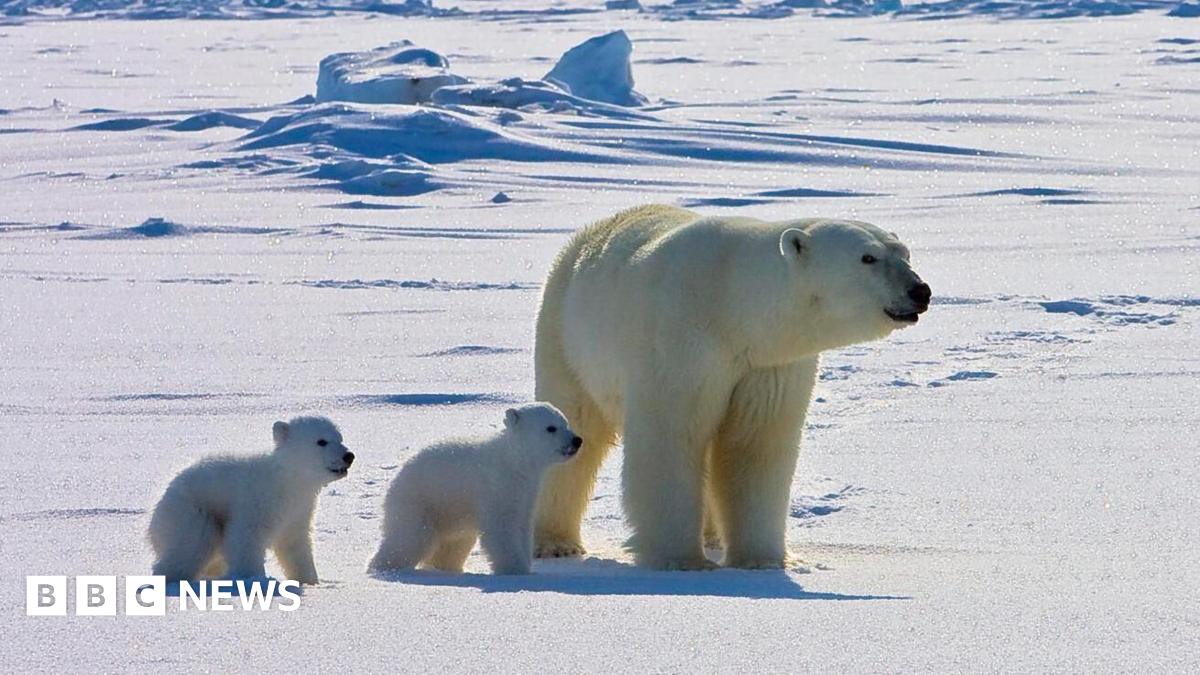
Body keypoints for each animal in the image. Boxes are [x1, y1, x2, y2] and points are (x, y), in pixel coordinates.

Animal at [148, 416, 354, 584]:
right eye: (321, 441)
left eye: (340, 438)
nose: (349, 456)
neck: (286, 482)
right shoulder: (256, 501)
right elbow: (245, 540)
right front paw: (252, 579)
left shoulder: (298, 510)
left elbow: (295, 545)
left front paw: (310, 580)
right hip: (192, 511)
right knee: (192, 544)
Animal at [368, 403, 582, 576]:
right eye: (551, 428)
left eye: (565, 422)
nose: (577, 440)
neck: (513, 461)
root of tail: (395, 481)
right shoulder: (496, 487)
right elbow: (502, 529)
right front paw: (515, 570)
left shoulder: (525, 493)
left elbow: (522, 526)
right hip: (420, 501)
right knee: (408, 539)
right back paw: (383, 567)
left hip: (451, 515)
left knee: (453, 546)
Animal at [532, 204, 931, 570]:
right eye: (868, 257)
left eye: (905, 253)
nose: (920, 290)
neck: (731, 305)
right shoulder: (680, 343)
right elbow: (672, 438)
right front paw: (681, 560)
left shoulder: (768, 364)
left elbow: (755, 445)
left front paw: (763, 561)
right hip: (566, 336)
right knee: (575, 424)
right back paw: (555, 543)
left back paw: (710, 535)